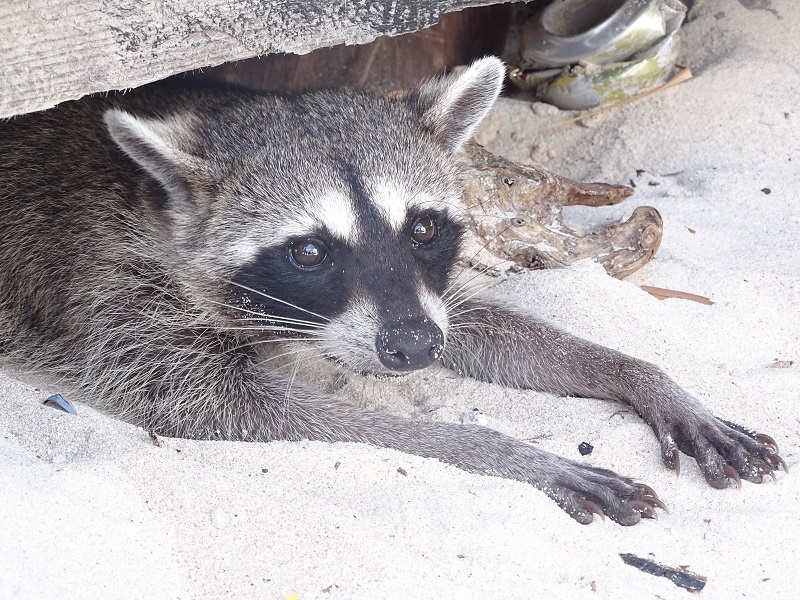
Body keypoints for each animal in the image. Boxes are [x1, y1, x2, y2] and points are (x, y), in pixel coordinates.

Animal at [0, 57, 784, 525]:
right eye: (309, 251)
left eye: (424, 228)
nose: (412, 348)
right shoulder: (121, 296)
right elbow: (249, 413)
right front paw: (498, 451)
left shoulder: (421, 297)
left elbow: (472, 324)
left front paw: (643, 375)